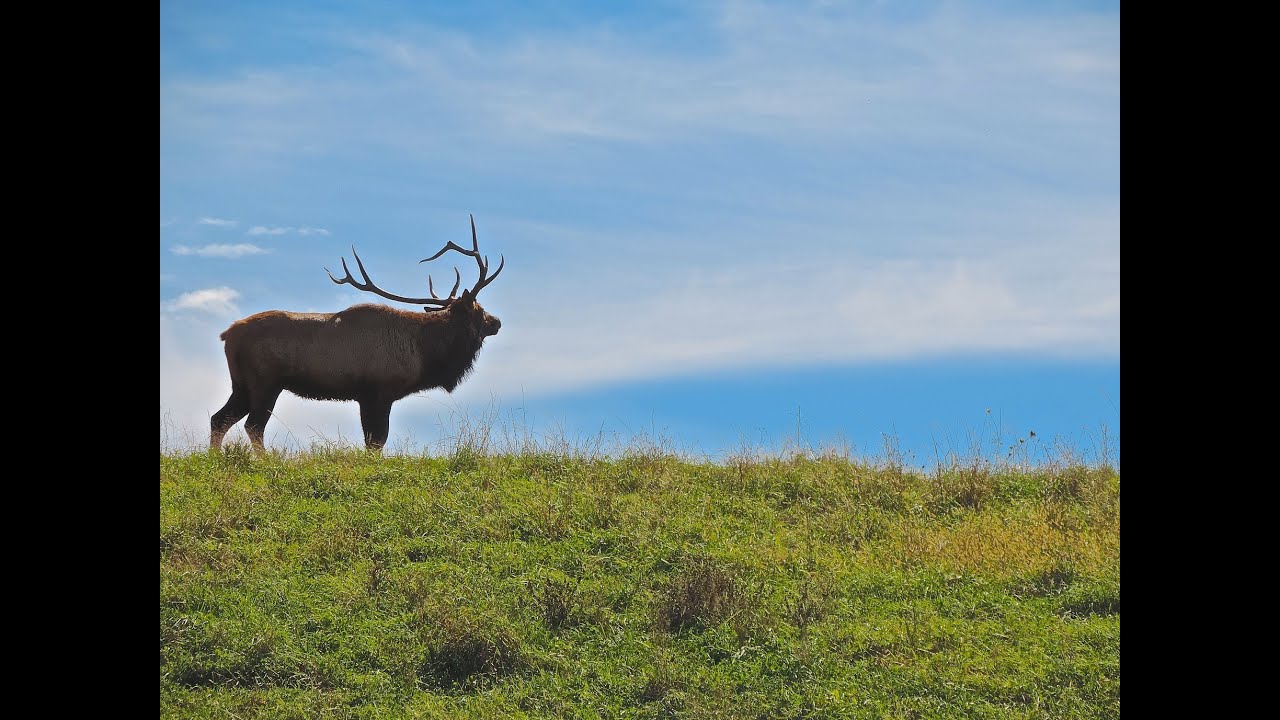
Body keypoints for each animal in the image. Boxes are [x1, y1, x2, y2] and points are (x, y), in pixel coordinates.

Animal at [210, 214, 504, 452]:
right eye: (480, 309)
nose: (497, 321)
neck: (423, 353)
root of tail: (226, 335)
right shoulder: (378, 391)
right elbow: (377, 441)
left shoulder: (365, 396)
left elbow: (372, 441)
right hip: (265, 381)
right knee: (253, 425)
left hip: (242, 384)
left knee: (219, 419)